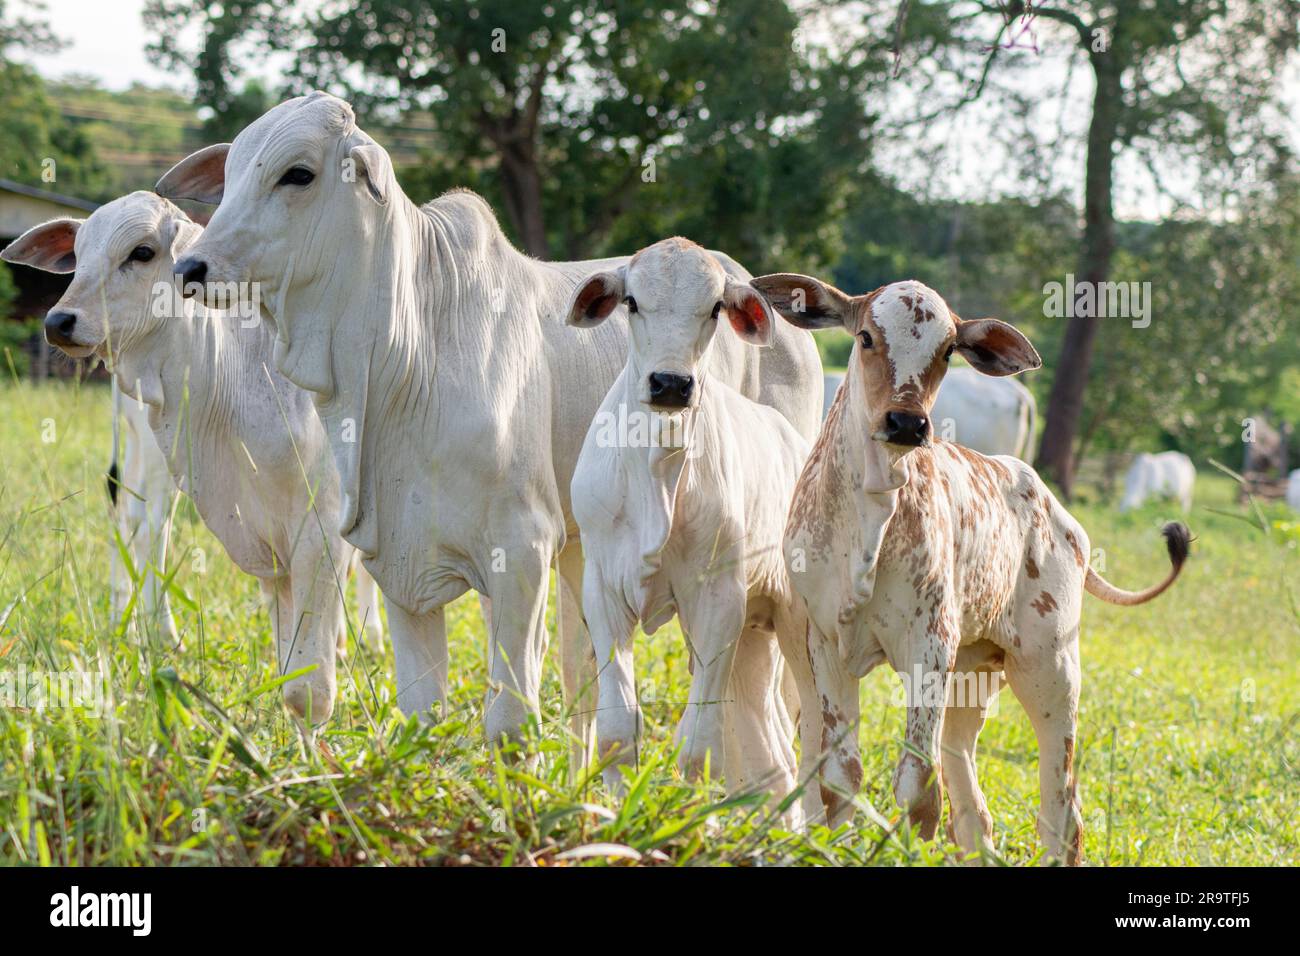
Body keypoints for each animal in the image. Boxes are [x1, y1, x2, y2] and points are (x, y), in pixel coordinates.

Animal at [155, 92, 823, 752]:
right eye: (231, 172)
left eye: (298, 173)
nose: (190, 268)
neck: (409, 348)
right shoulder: (398, 561)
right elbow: (422, 711)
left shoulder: (522, 550)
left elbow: (509, 721)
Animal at [566, 237, 817, 822]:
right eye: (632, 301)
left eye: (714, 308)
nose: (670, 384)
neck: (658, 470)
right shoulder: (602, 590)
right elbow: (617, 730)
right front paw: (620, 813)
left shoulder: (719, 602)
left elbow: (700, 745)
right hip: (754, 641)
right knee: (771, 748)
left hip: (798, 630)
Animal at [750, 273, 1191, 864]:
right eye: (865, 337)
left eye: (946, 352)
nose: (907, 423)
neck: (869, 514)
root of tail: (1059, 515)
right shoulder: (825, 644)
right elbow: (841, 779)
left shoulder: (929, 646)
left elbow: (918, 788)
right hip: (972, 680)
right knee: (973, 810)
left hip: (1050, 672)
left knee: (1061, 810)